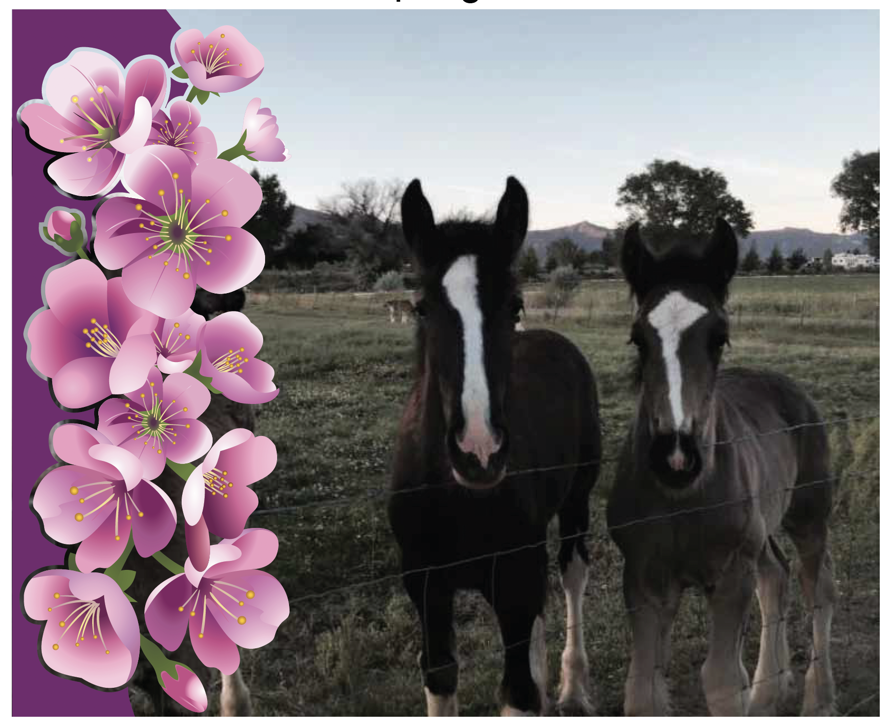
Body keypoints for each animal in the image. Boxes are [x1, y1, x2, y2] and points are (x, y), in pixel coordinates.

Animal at [388, 177, 601, 716]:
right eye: (422, 307)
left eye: (515, 306)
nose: (478, 450)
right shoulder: (425, 584)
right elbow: (441, 675)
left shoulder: (513, 580)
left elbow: (518, 692)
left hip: (577, 501)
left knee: (571, 574)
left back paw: (572, 687)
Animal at [606, 220, 837, 716]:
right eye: (638, 339)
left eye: (720, 338)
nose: (676, 456)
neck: (682, 499)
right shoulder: (642, 578)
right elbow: (641, 690)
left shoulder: (731, 574)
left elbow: (723, 682)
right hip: (762, 531)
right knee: (776, 576)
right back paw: (770, 690)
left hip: (809, 514)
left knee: (817, 588)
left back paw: (818, 698)